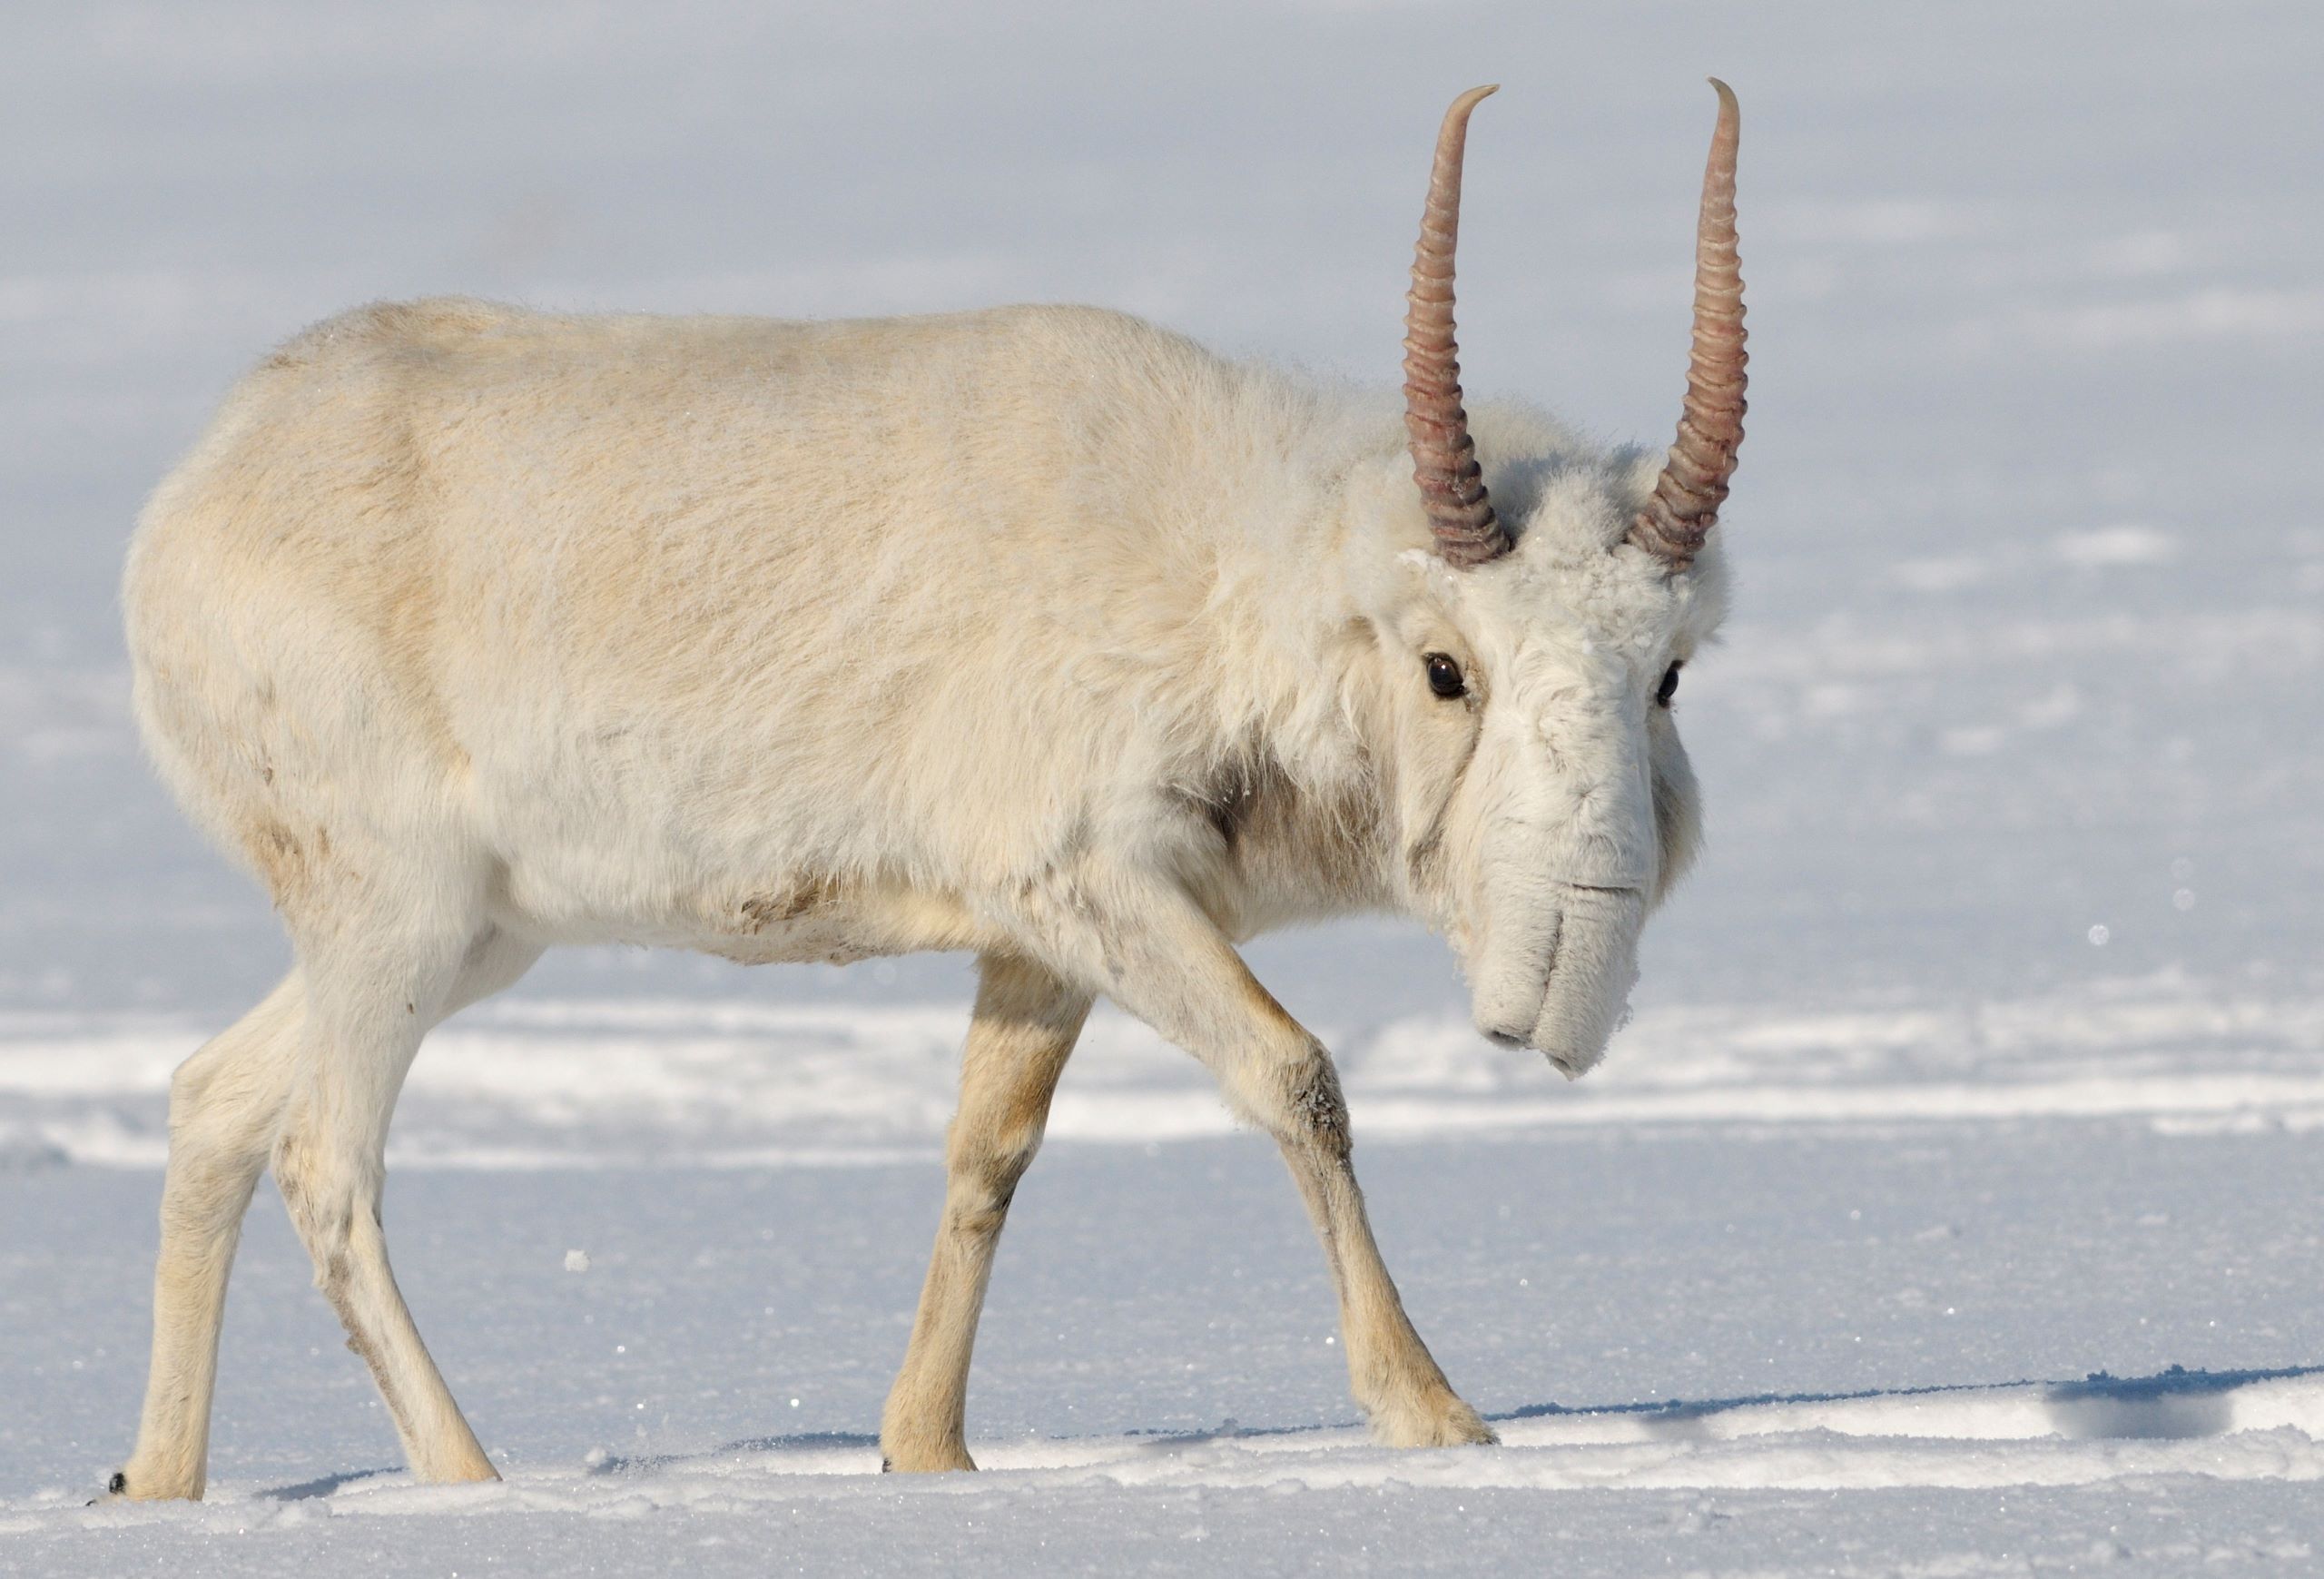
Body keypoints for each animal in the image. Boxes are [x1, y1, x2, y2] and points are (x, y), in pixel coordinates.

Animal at [108, 80, 1746, 1497]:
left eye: (1667, 668)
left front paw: (926, 1451)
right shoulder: (1094, 879)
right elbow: (1297, 1075)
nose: (1571, 963)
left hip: (470, 936)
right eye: (1447, 666)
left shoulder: (1041, 942)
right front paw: (1437, 1415)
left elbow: (988, 1154)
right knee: (323, 1157)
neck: (1234, 574)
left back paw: (158, 1483)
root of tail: (185, 506)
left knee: (213, 1101)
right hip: (395, 916)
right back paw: (471, 1480)